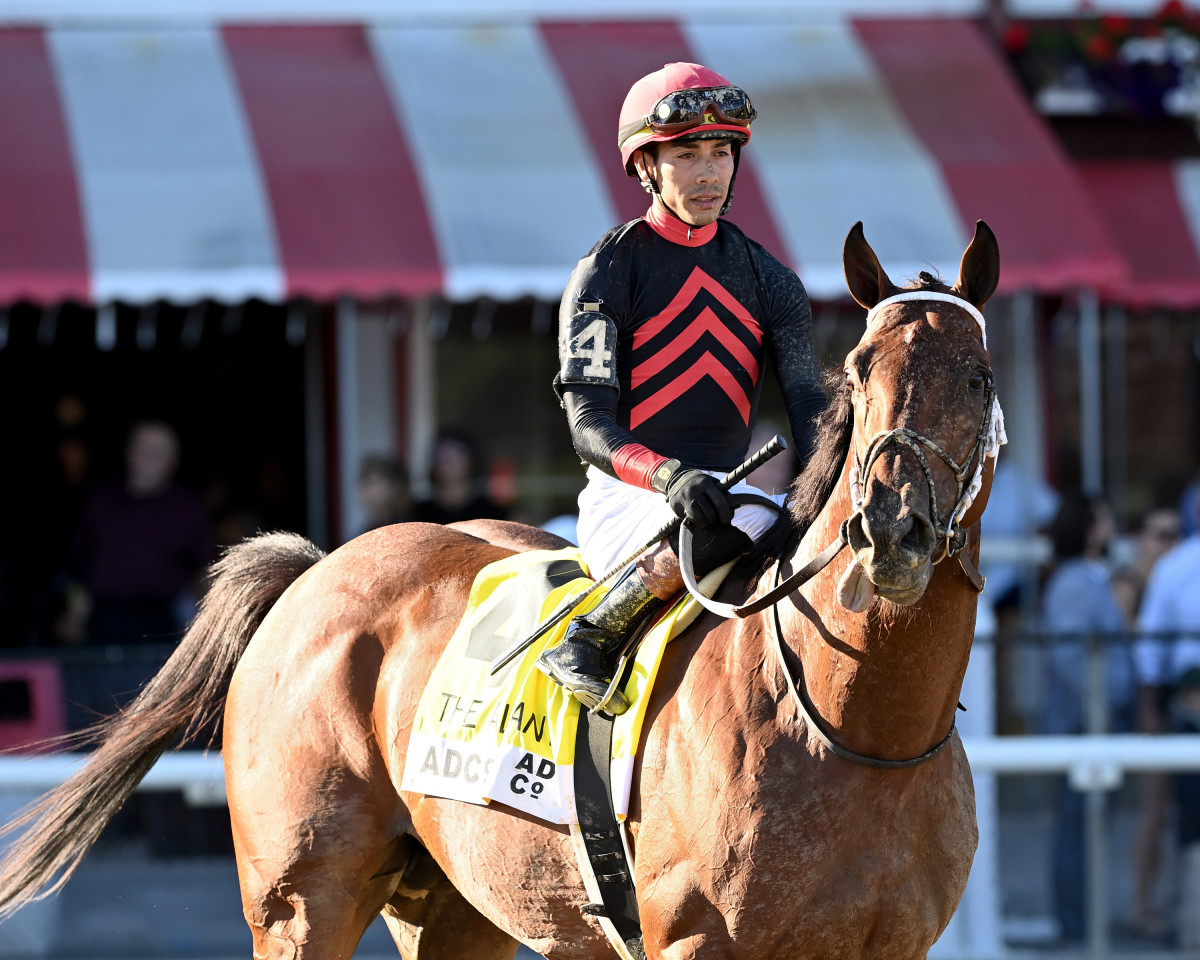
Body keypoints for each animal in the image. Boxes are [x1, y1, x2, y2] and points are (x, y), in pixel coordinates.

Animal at [0, 220, 1001, 960]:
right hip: (299, 903)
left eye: (978, 376)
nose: (891, 530)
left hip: (454, 905)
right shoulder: (696, 941)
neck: (858, 729)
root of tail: (317, 569)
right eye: (861, 372)